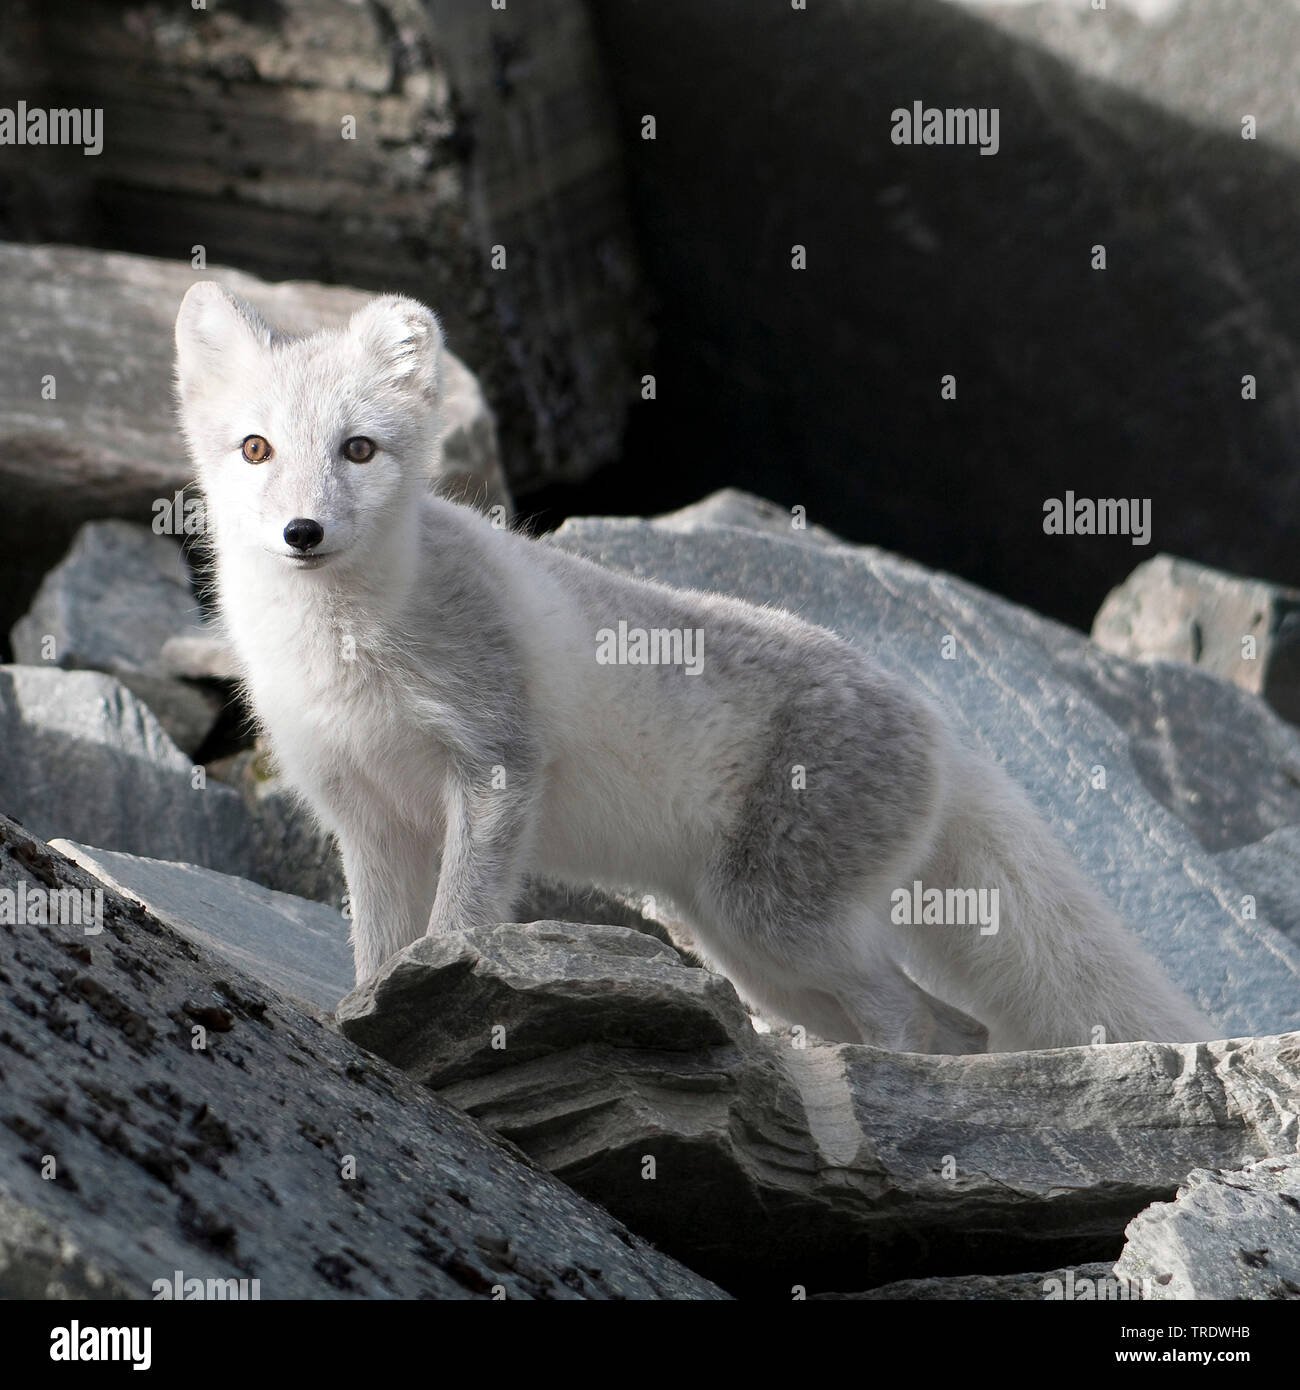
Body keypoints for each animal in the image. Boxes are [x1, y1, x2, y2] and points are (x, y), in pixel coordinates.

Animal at [173, 281, 1214, 1053]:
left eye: (358, 449)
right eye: (256, 448)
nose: (302, 532)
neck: (342, 653)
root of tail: (941, 726)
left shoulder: (496, 764)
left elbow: (456, 922)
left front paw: (424, 996)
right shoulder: (366, 814)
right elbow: (379, 944)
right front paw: (363, 1013)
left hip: (774, 924)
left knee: (915, 1019)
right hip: (751, 950)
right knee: (957, 1028)